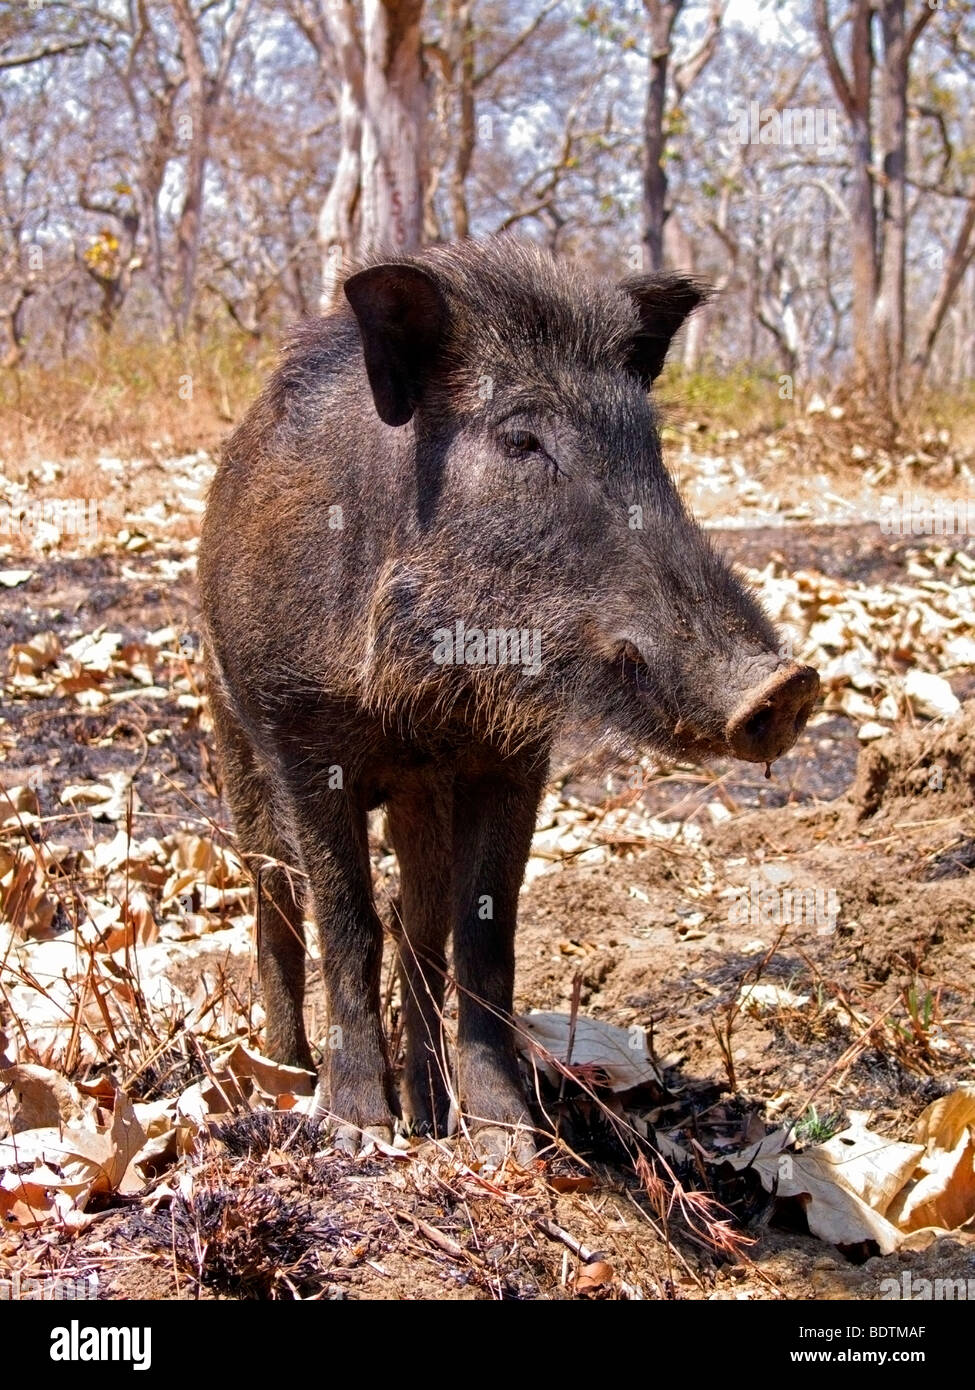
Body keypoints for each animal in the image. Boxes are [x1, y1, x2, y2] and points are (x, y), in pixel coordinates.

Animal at [198, 238, 818, 1164]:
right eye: (522, 439)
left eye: (649, 444)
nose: (784, 685)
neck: (425, 688)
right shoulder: (303, 735)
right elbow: (347, 923)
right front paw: (355, 1130)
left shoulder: (512, 756)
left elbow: (485, 934)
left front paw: (509, 1142)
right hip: (227, 727)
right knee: (275, 902)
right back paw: (291, 1082)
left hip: (418, 797)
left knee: (420, 929)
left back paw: (430, 1115)